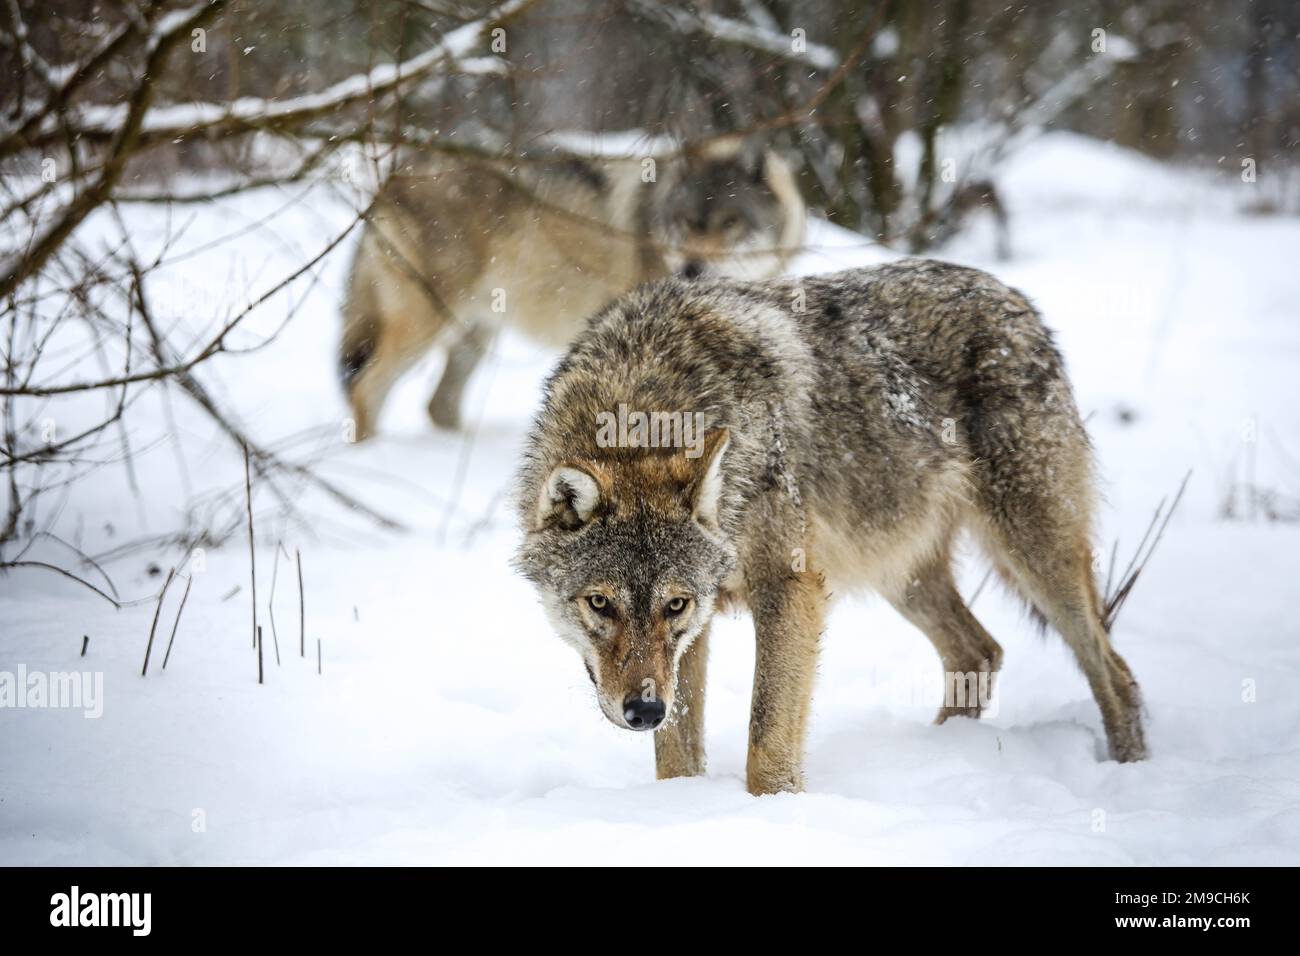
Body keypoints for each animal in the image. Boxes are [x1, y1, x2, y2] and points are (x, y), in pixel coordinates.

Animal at [339, 138, 805, 440]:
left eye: (731, 222)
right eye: (686, 222)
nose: (692, 269)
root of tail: (394, 172)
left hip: (475, 333)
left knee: (438, 406)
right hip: (429, 324)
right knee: (366, 390)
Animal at [514, 259, 1146, 796]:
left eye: (674, 605)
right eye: (600, 603)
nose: (643, 712)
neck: (646, 399)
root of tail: (1014, 296)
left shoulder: (788, 588)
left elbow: (766, 735)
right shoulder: (704, 626)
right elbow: (677, 753)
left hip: (1033, 558)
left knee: (1115, 673)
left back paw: (1128, 774)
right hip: (901, 572)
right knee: (980, 651)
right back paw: (942, 755)